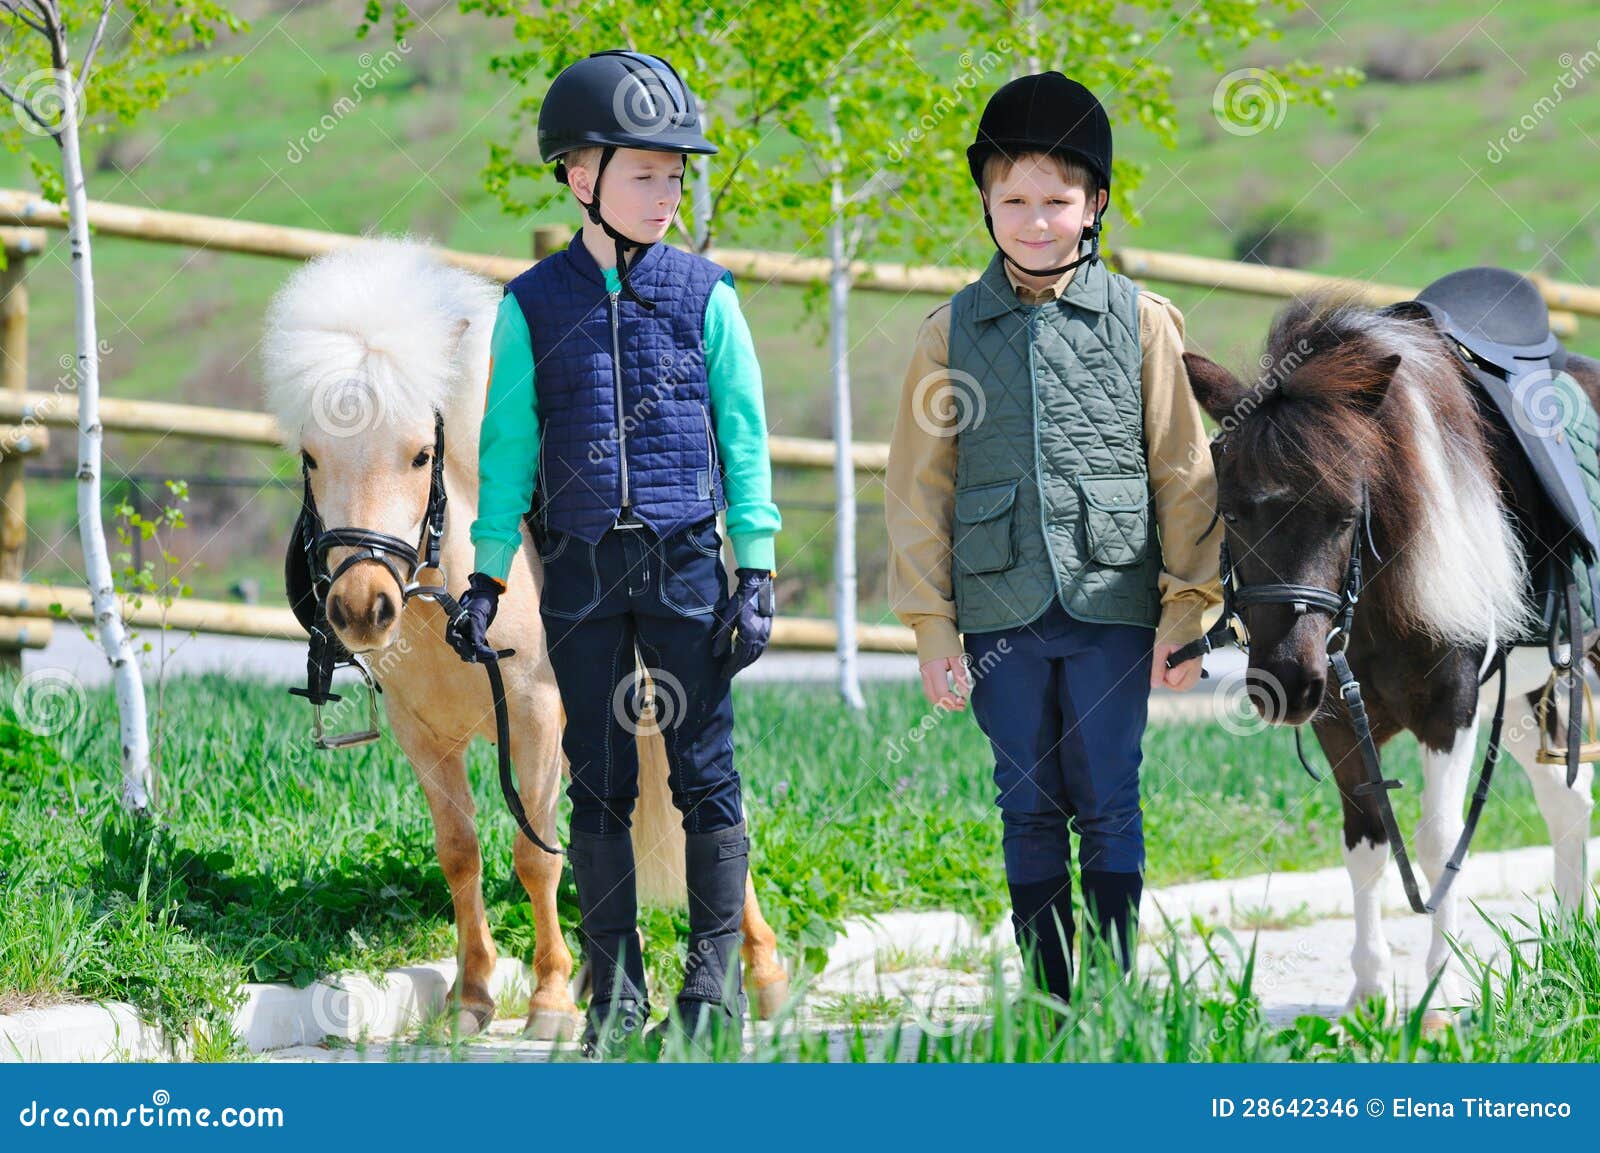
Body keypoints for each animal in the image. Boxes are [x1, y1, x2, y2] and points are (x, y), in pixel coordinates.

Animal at [259, 237, 789, 1039]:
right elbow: (461, 853)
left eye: (420, 455)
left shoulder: (537, 718)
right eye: (313, 457)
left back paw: (761, 977)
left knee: (709, 811)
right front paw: (472, 996)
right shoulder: (423, 736)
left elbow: (537, 855)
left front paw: (550, 1000)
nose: (360, 606)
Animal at [1182, 294, 1598, 1023]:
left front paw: (1440, 994)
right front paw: (1370, 993)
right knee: (1567, 805)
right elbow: (1367, 844)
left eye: (1348, 513)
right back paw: (1567, 951)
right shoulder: (1339, 721)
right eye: (1230, 513)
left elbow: (1437, 844)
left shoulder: (1452, 709)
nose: (1286, 681)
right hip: (1527, 696)